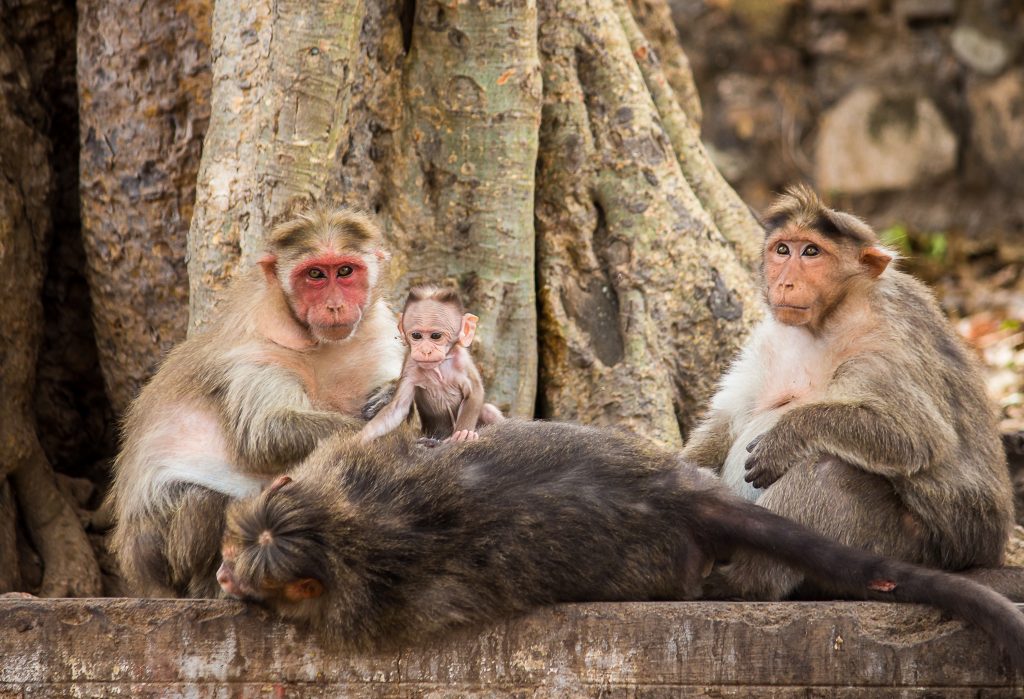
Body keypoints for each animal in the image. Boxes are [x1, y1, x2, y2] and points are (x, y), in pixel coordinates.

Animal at [107, 206, 406, 598]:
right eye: (314, 275)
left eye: (345, 271)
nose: (335, 305)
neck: (319, 342)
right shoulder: (259, 347)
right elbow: (266, 434)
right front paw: (390, 428)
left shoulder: (378, 331)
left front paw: (394, 401)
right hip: (155, 546)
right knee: (203, 500)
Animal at [215, 420, 1024, 669]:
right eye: (226, 549)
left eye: (243, 573)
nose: (222, 577)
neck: (336, 521)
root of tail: (676, 490)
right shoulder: (347, 463)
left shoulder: (357, 605)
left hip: (662, 562)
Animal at [358, 285, 504, 444]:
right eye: (416, 335)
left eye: (436, 336)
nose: (425, 350)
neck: (438, 367)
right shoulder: (410, 364)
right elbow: (397, 408)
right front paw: (359, 439)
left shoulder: (462, 361)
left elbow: (475, 392)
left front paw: (463, 434)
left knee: (488, 410)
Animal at [681, 184, 1014, 600]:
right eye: (782, 249)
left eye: (811, 252)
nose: (784, 282)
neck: (830, 319)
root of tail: (981, 556)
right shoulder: (771, 336)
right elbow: (727, 420)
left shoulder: (885, 346)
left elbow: (917, 437)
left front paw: (788, 435)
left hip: (905, 547)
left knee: (827, 470)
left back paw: (743, 583)